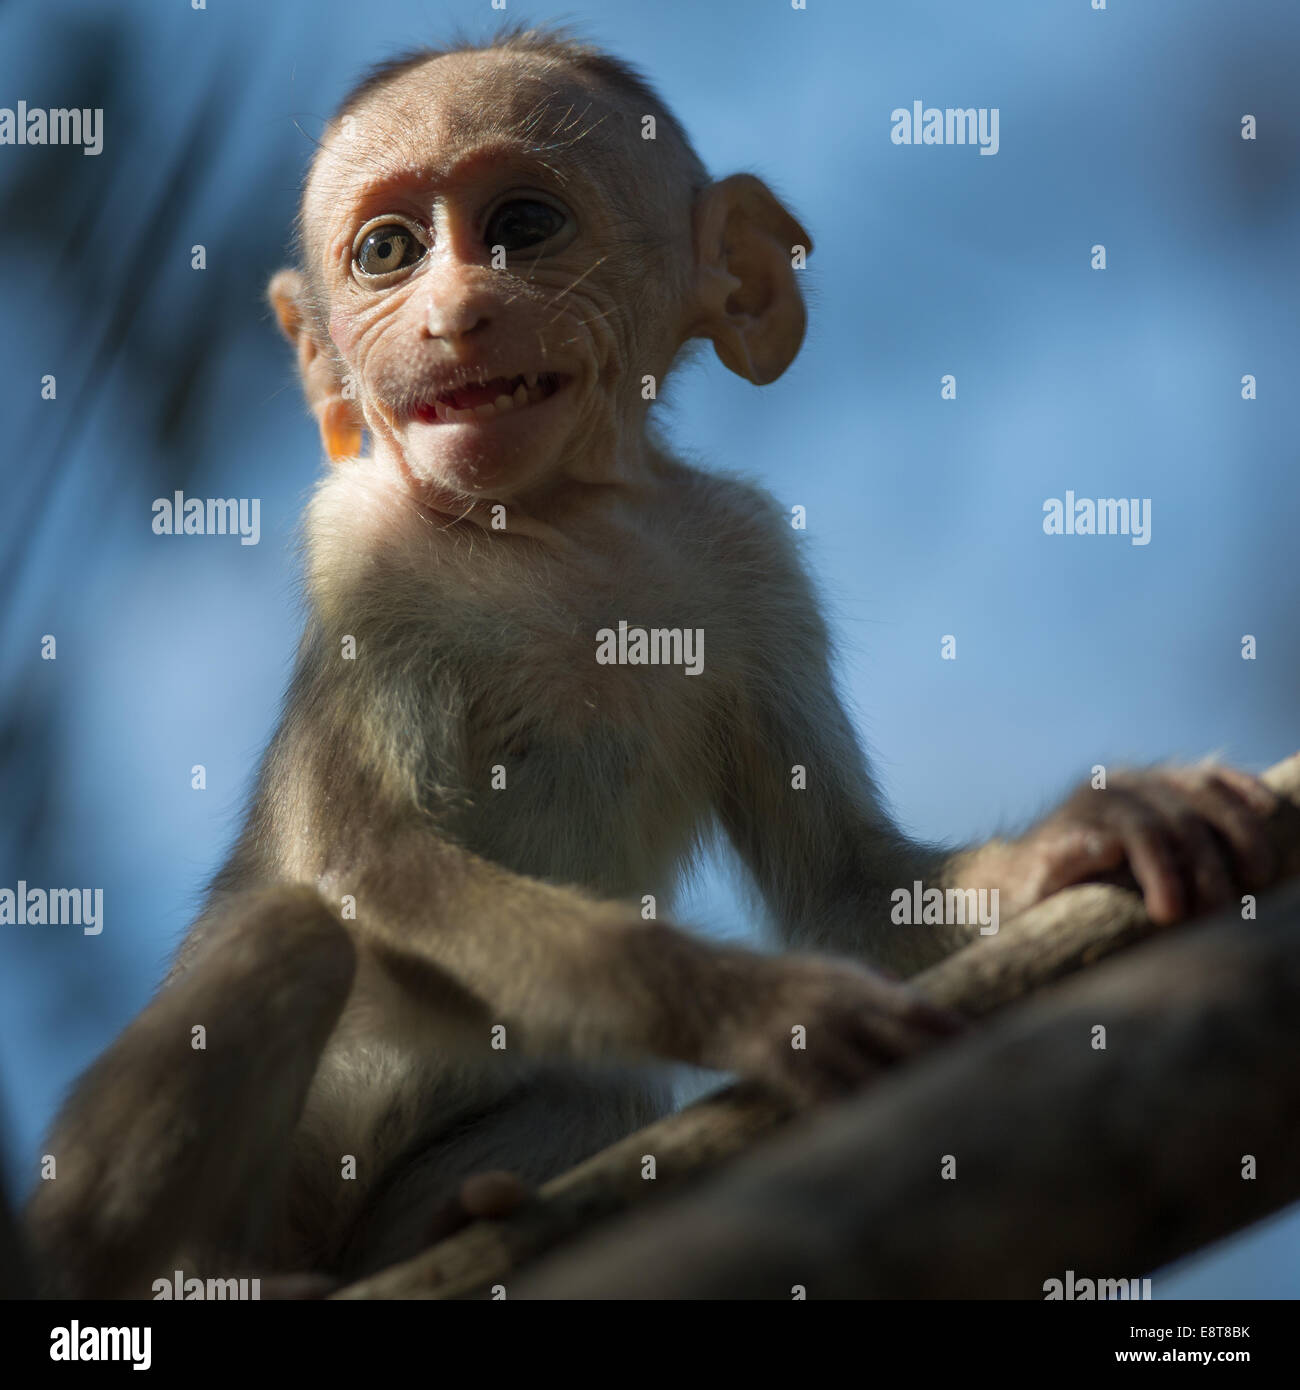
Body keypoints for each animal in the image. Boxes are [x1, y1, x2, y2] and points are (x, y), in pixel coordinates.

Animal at [26, 26, 1280, 1299]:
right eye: (387, 251)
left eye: (522, 226)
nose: (453, 317)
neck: (553, 524)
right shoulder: (361, 548)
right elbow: (375, 863)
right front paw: (762, 1009)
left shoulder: (751, 556)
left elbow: (847, 881)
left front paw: (1092, 831)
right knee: (291, 935)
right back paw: (203, 1273)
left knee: (594, 1092)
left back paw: (455, 1221)